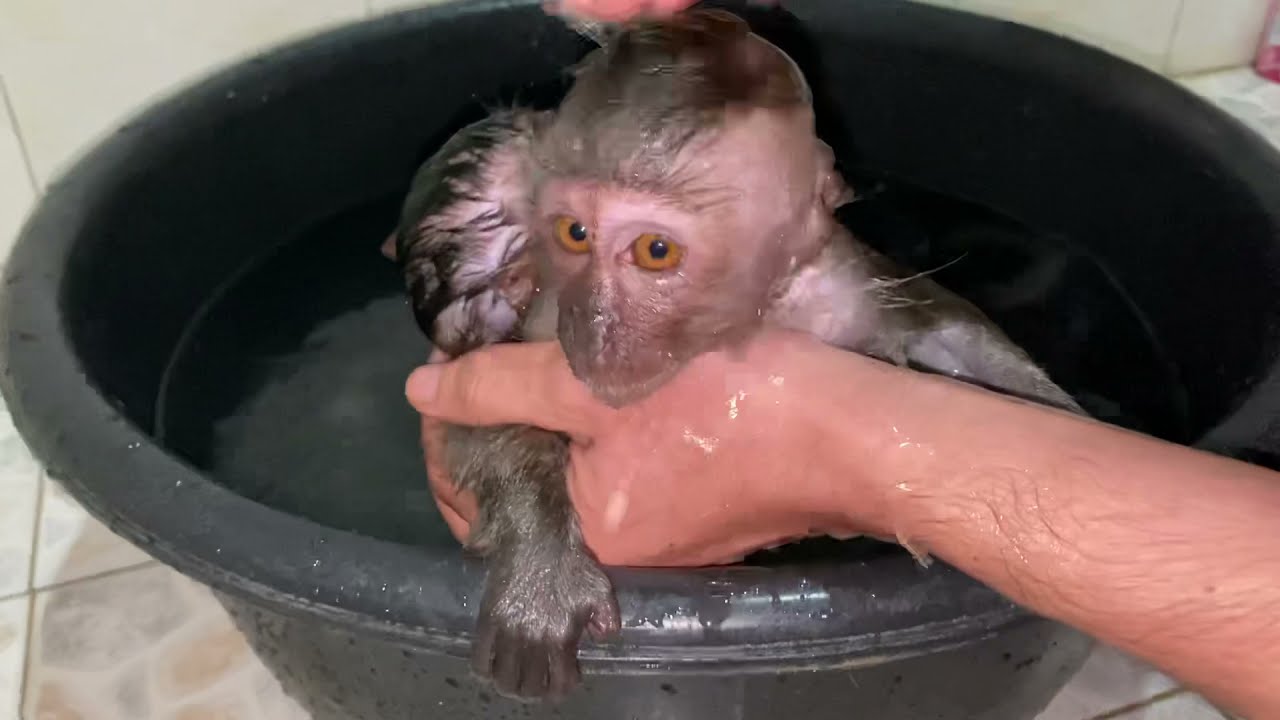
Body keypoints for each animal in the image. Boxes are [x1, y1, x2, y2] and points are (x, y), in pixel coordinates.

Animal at [386, 9, 1084, 703]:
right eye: (573, 233)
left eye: (656, 251)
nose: (595, 326)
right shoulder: (538, 321)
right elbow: (477, 420)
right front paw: (542, 564)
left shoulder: (842, 290)